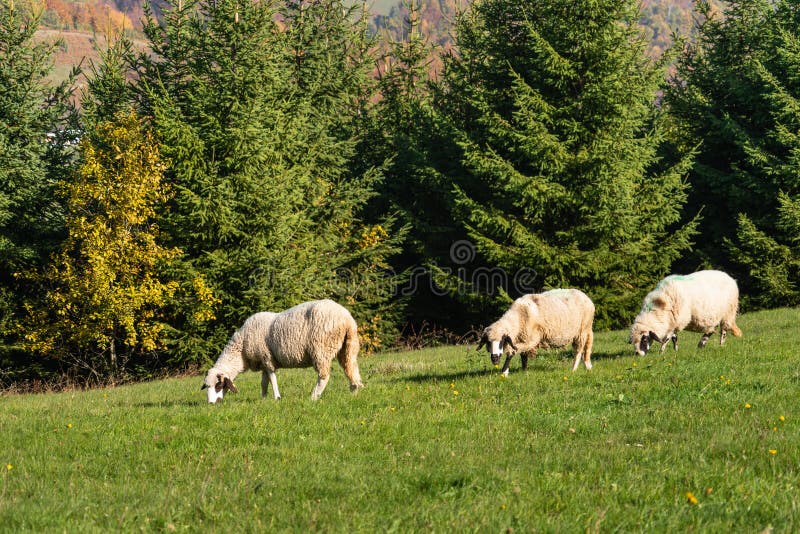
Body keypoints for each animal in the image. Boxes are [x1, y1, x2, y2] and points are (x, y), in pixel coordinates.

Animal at [201, 299, 364, 403]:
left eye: (219, 385)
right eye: (207, 386)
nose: (211, 404)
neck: (241, 349)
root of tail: (347, 318)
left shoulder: (267, 358)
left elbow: (272, 379)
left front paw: (276, 397)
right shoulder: (263, 361)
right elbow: (264, 382)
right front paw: (263, 399)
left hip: (321, 349)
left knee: (324, 376)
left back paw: (313, 397)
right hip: (348, 347)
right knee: (352, 369)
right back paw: (355, 392)